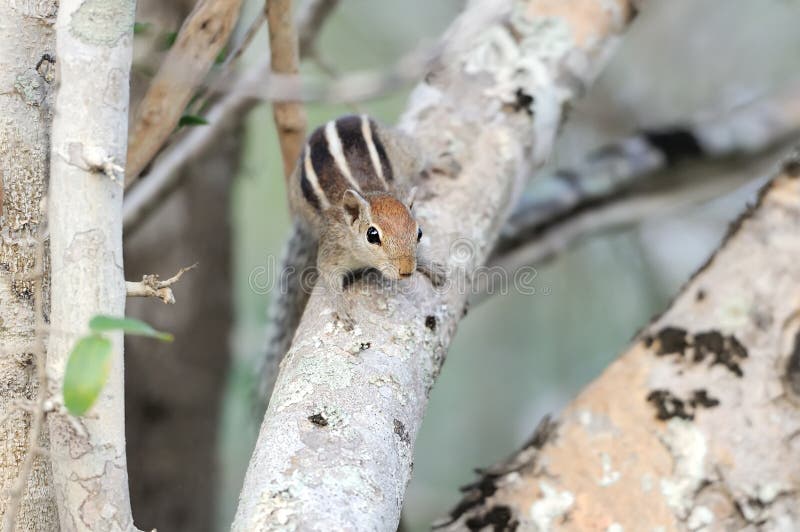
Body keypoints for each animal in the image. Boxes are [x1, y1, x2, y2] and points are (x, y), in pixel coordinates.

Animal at [286, 114, 445, 325]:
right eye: (372, 235)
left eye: (419, 233)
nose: (406, 270)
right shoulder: (332, 245)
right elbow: (328, 273)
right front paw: (341, 306)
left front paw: (430, 266)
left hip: (400, 148)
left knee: (418, 156)